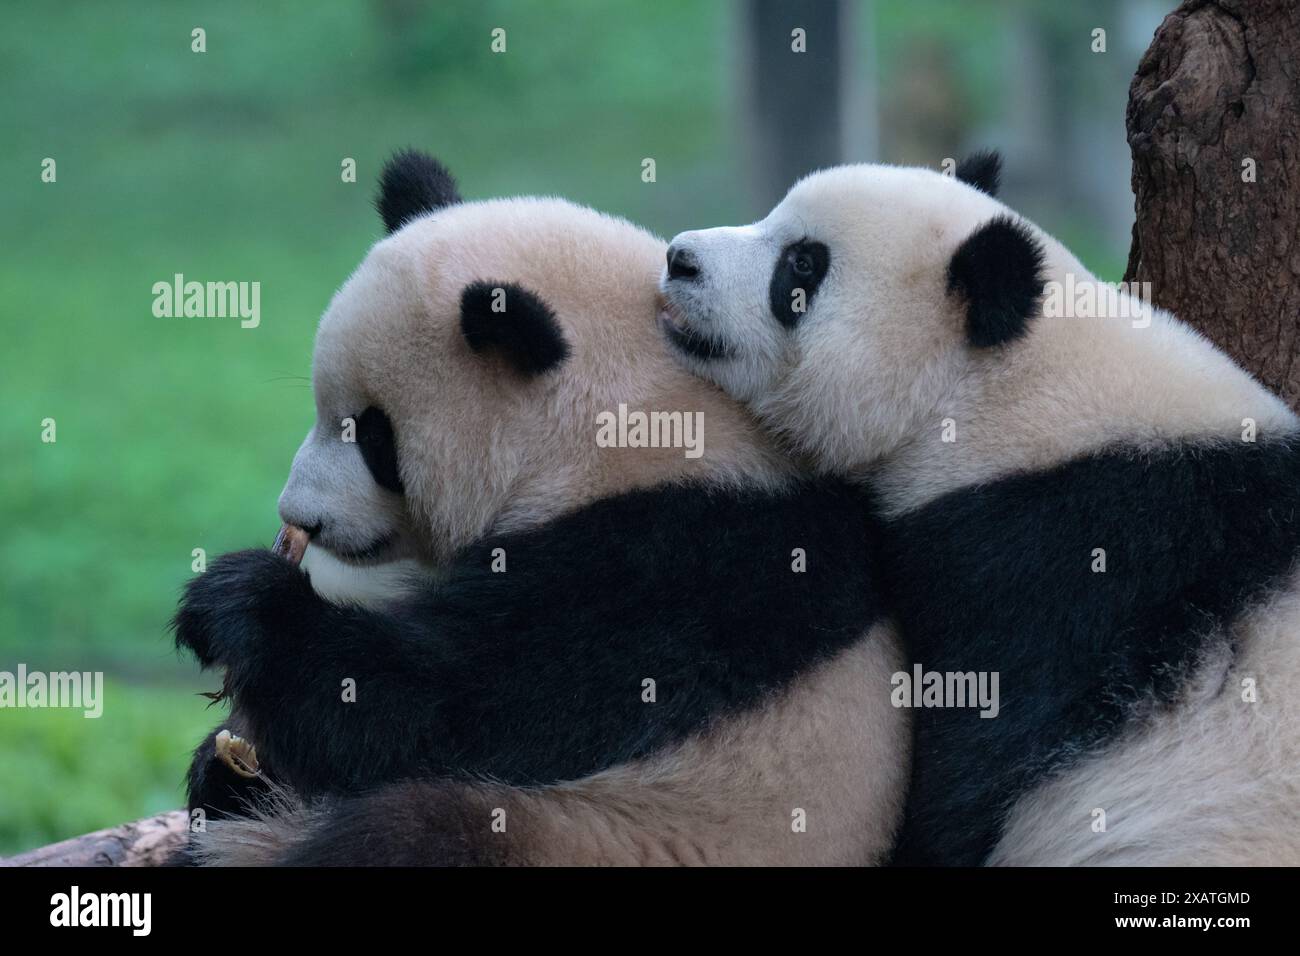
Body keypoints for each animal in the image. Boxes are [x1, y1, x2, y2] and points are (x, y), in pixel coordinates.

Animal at [173, 150, 910, 866]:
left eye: (374, 437)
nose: (302, 516)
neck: (627, 421)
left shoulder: (673, 564)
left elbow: (448, 708)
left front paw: (239, 604)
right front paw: (226, 763)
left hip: (594, 835)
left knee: (414, 832)